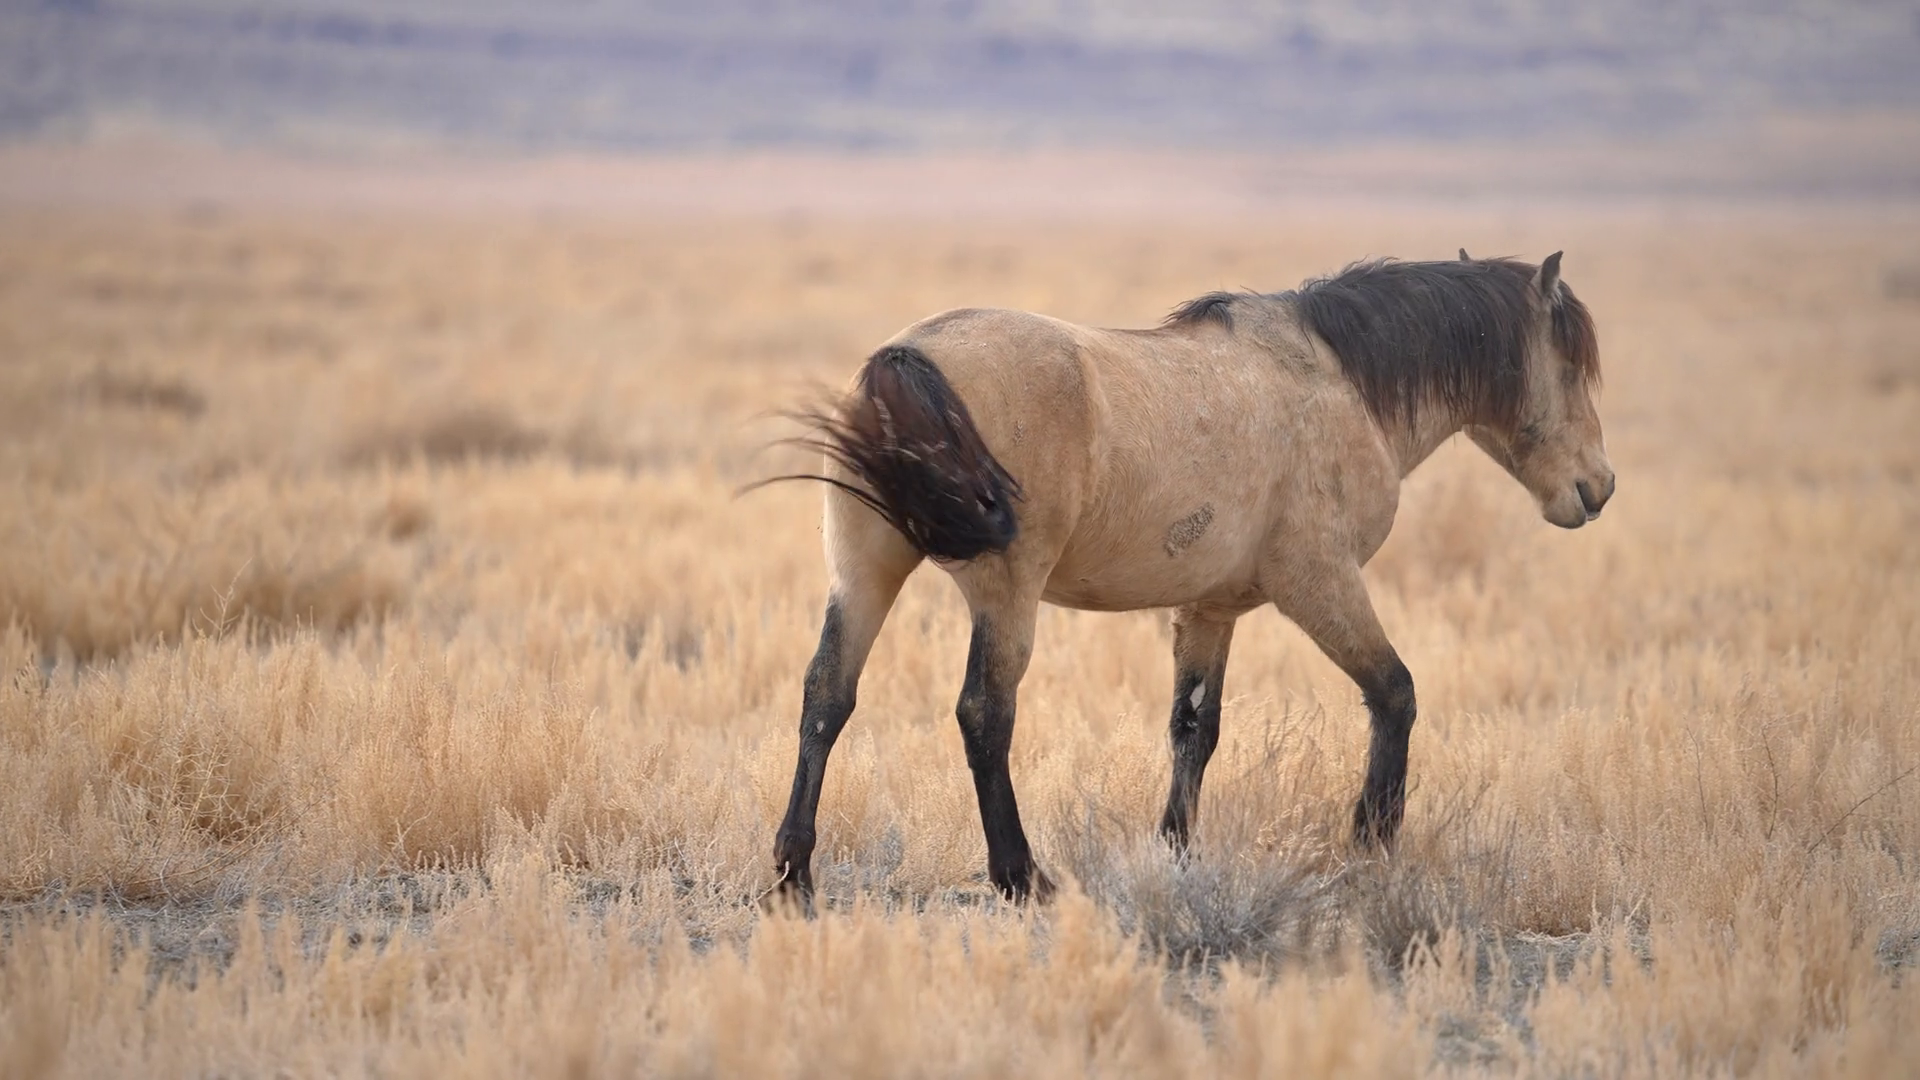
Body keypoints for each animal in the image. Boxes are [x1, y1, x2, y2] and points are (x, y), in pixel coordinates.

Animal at [768, 250, 1610, 903]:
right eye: (1571, 365)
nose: (1598, 487)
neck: (1338, 381)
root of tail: (909, 358)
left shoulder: (1211, 610)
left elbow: (1193, 731)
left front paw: (1176, 854)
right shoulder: (1320, 584)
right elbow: (1394, 693)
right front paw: (1371, 843)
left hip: (864, 573)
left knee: (827, 696)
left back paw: (792, 874)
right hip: (1004, 596)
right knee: (984, 715)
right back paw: (1021, 876)